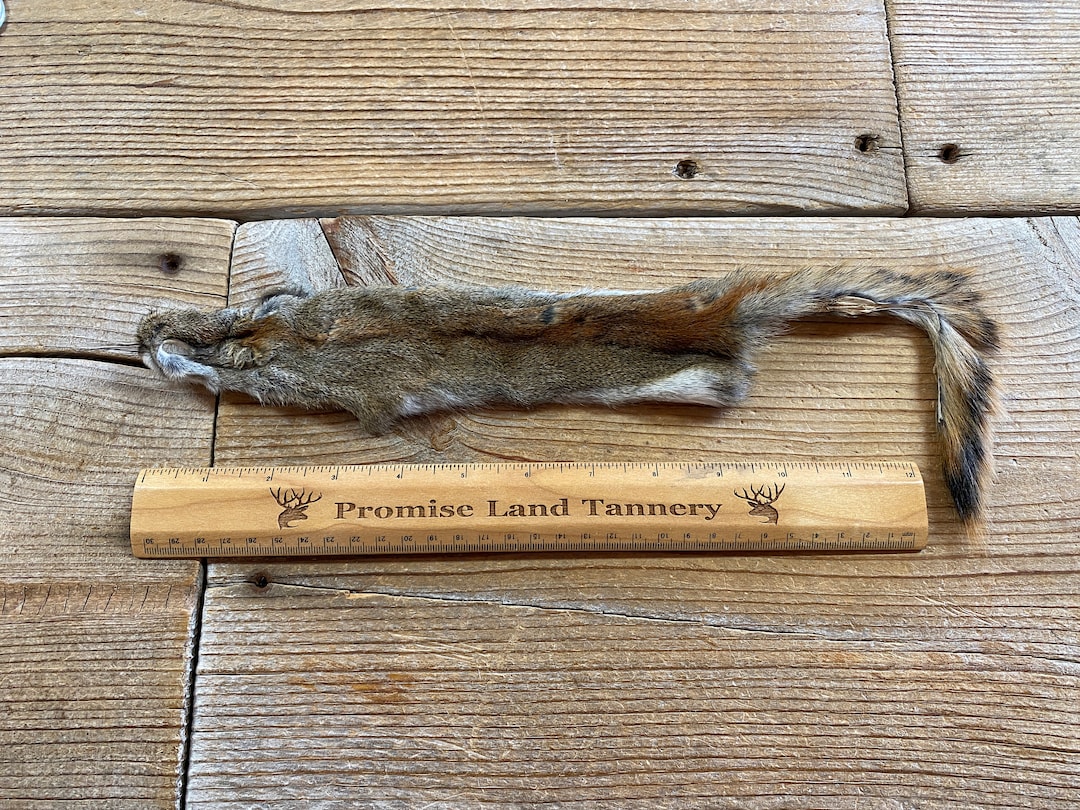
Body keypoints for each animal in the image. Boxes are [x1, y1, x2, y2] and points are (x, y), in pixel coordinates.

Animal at [137, 266, 998, 522]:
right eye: (177, 317)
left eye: (170, 346)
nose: (143, 330)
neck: (286, 338)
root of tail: (726, 313)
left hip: (699, 375)